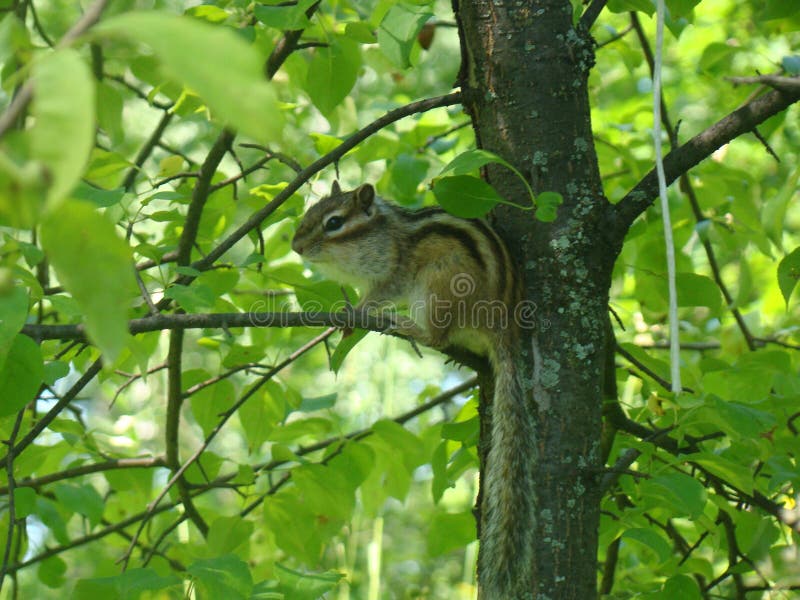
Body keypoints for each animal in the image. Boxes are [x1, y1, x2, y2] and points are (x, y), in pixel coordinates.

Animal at [291, 181, 536, 598]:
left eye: (334, 222)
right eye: (309, 214)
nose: (295, 247)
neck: (382, 233)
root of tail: (503, 323)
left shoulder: (396, 274)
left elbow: (377, 296)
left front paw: (354, 314)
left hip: (437, 288)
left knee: (437, 336)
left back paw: (407, 326)